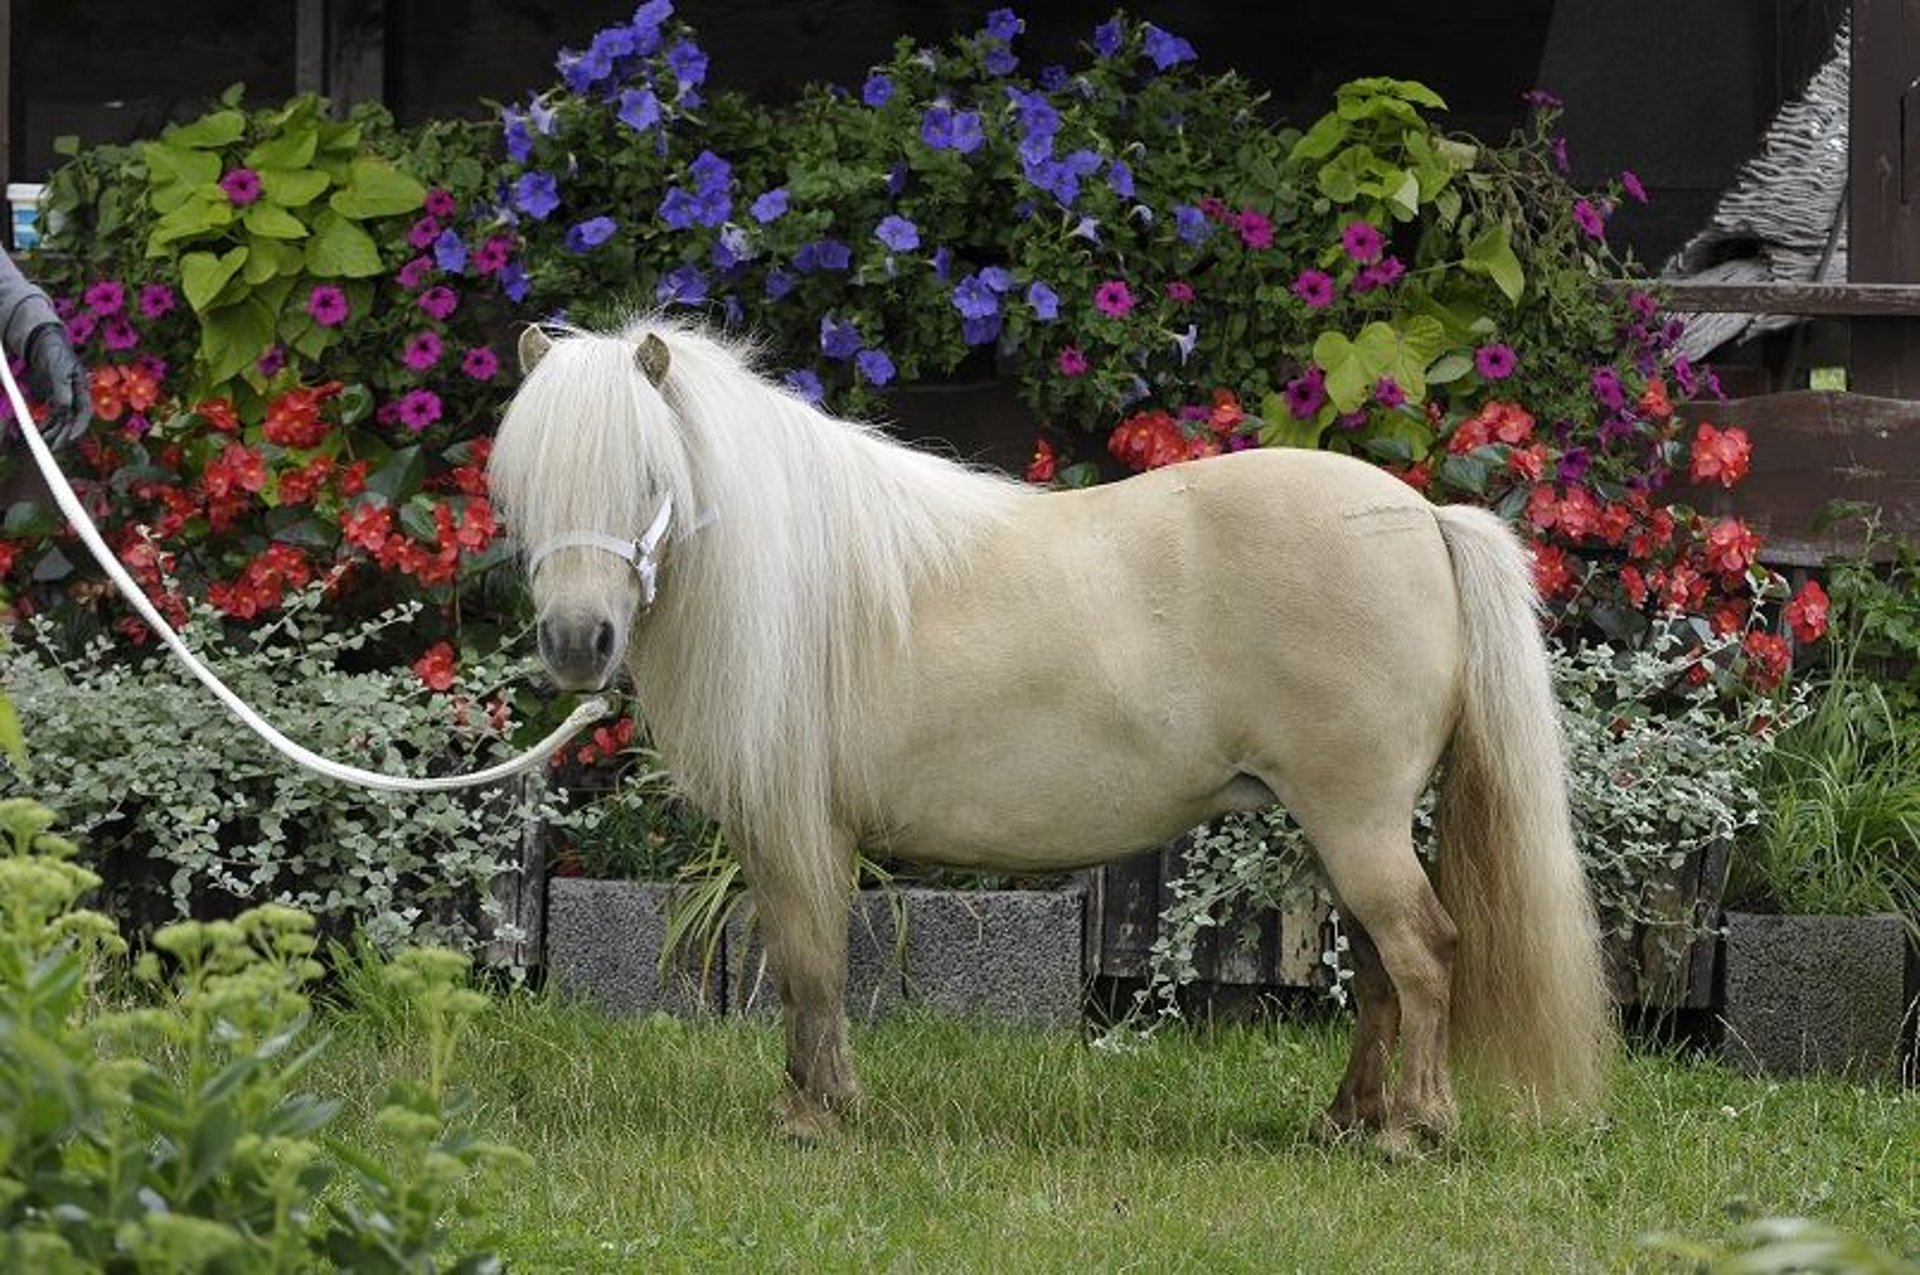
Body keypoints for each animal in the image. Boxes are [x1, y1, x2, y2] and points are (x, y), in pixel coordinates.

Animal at [489, 316, 1614, 1154]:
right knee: (1383, 965)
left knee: (1422, 952)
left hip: (1358, 821)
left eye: (650, 474)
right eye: (527, 485)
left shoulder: (797, 825)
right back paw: (1344, 1121)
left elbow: (811, 963)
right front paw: (820, 1103)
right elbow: (811, 966)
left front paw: (811, 1118)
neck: (802, 581)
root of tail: (1424, 518)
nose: (578, 642)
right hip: (1341, 829)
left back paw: (1410, 1133)